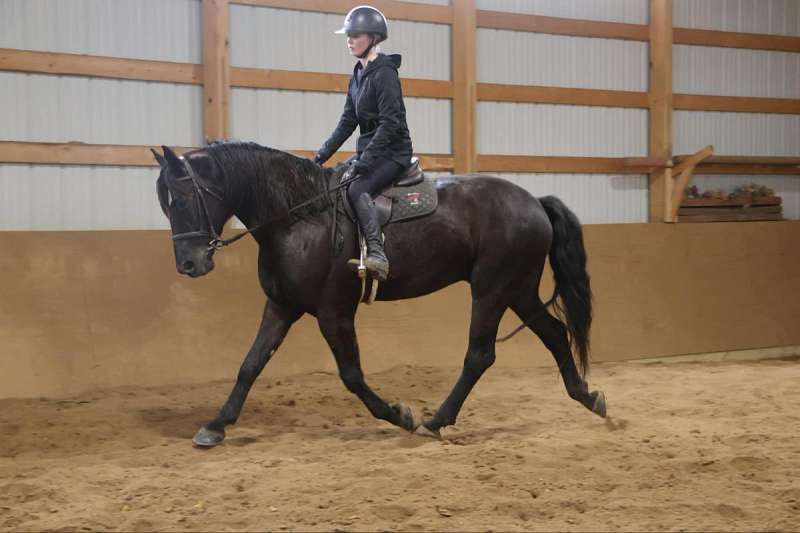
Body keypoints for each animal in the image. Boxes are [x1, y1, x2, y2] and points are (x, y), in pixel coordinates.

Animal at [152, 141, 605, 447]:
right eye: (165, 204)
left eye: (185, 198)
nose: (189, 264)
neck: (300, 218)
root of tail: (534, 202)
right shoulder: (282, 306)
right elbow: (250, 365)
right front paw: (215, 426)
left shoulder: (334, 312)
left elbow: (351, 375)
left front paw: (398, 414)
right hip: (518, 289)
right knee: (555, 334)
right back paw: (588, 397)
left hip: (492, 289)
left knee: (480, 355)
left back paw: (435, 421)